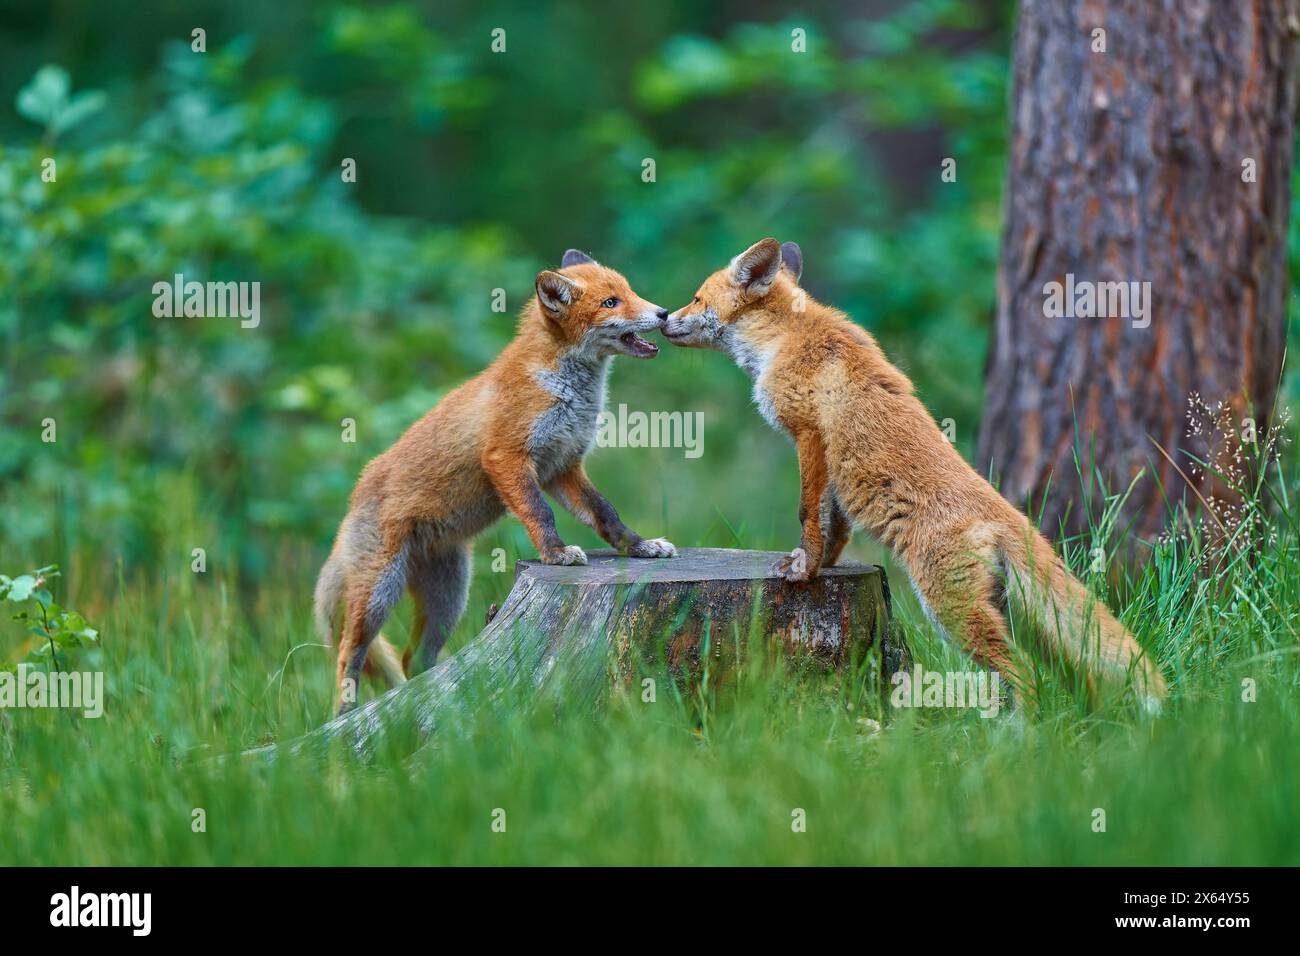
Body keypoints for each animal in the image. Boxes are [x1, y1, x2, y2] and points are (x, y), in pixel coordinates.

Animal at [315, 249, 677, 715]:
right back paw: (345, 714)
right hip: (379, 593)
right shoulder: (508, 459)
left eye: (629, 292)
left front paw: (640, 547)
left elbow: (606, 513)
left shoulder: (563, 467)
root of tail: (351, 507)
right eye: (611, 302)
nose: (663, 313)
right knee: (349, 653)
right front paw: (556, 554)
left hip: (449, 598)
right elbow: (539, 514)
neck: (565, 390)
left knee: (415, 660)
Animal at [662, 238, 1166, 711]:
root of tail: (1010, 518)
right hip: (1015, 617)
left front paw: (805, 568)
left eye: (696, 297)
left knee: (1023, 674)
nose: (665, 317)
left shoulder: (809, 435)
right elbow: (834, 524)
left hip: (949, 609)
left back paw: (1015, 735)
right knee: (1063, 673)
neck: (783, 339)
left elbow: (807, 511)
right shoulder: (831, 463)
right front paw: (827, 565)